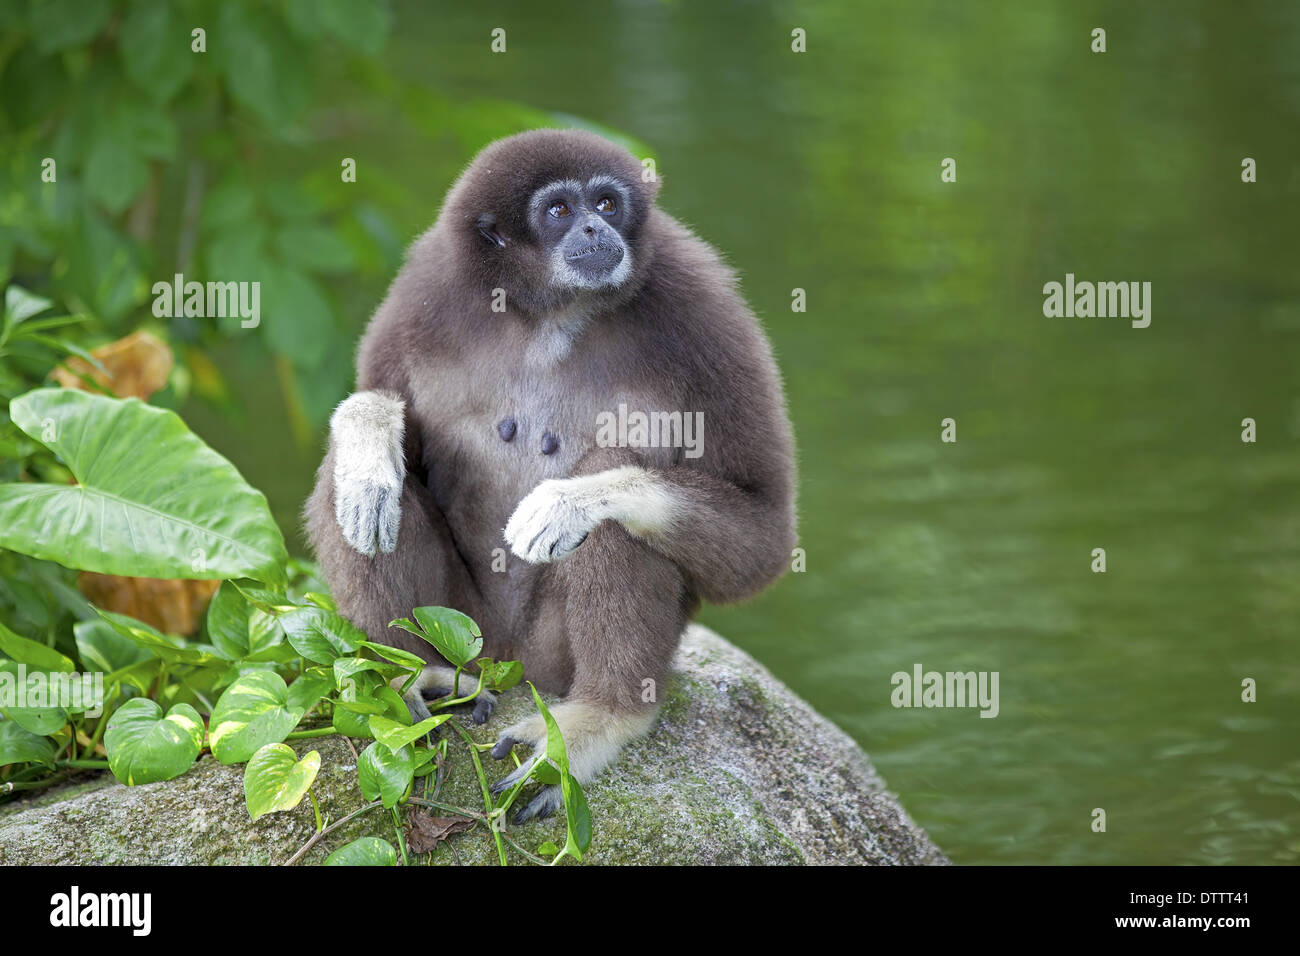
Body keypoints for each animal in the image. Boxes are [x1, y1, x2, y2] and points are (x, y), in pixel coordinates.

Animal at [304, 128, 796, 822]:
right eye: (559, 210)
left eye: (608, 202)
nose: (594, 228)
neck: (552, 313)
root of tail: (509, 666)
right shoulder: (426, 286)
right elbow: (388, 428)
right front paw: (370, 442)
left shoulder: (704, 307)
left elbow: (763, 533)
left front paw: (569, 501)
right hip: (463, 629)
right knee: (359, 492)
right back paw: (416, 670)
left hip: (544, 660)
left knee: (614, 521)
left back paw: (600, 716)